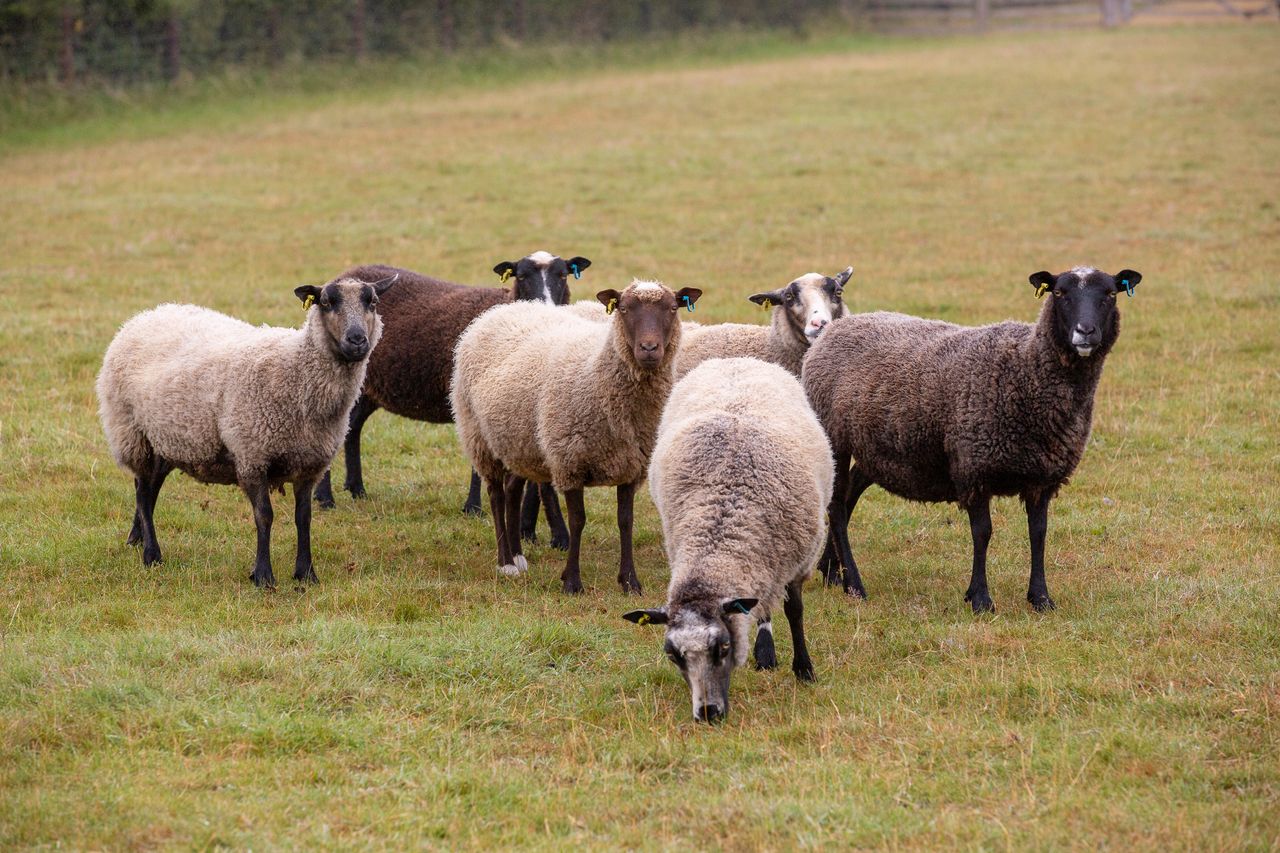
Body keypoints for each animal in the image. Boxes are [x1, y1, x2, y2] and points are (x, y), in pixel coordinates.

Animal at [96, 275, 397, 588]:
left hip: (165, 441)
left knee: (148, 488)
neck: (296, 372)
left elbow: (304, 518)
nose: (357, 340)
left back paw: (137, 538)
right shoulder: (252, 455)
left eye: (373, 302)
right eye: (326, 303)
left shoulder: (310, 465)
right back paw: (152, 554)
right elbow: (264, 516)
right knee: (143, 492)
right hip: (133, 433)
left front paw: (305, 574)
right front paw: (263, 575)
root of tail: (145, 315)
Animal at [312, 250, 592, 551]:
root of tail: (345, 275)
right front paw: (475, 508)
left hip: (370, 388)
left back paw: (356, 489)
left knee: (353, 428)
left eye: (563, 275)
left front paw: (527, 529)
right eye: (521, 276)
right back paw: (326, 498)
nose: (545, 306)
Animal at [451, 279, 702, 595]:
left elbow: (625, 521)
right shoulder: (569, 461)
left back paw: (519, 555)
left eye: (671, 308)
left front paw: (630, 582)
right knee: (496, 495)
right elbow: (578, 521)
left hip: (520, 441)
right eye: (624, 308)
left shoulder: (631, 466)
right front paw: (572, 582)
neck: (596, 374)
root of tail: (500, 311)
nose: (648, 348)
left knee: (512, 490)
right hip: (480, 437)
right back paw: (506, 562)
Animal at [622, 357, 834, 722]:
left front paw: (804, 670)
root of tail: (735, 359)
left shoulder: (799, 562)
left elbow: (795, 611)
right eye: (673, 655)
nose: (707, 712)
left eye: (722, 647)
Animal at [801, 266, 1143, 612]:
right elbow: (983, 533)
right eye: (1059, 293)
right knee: (837, 507)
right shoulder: (974, 466)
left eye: (1110, 294)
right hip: (834, 437)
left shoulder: (1042, 477)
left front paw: (1040, 597)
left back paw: (832, 571)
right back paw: (854, 584)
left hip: (876, 444)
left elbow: (1039, 533)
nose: (1085, 332)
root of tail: (834, 329)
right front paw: (979, 598)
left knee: (850, 493)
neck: (1027, 368)